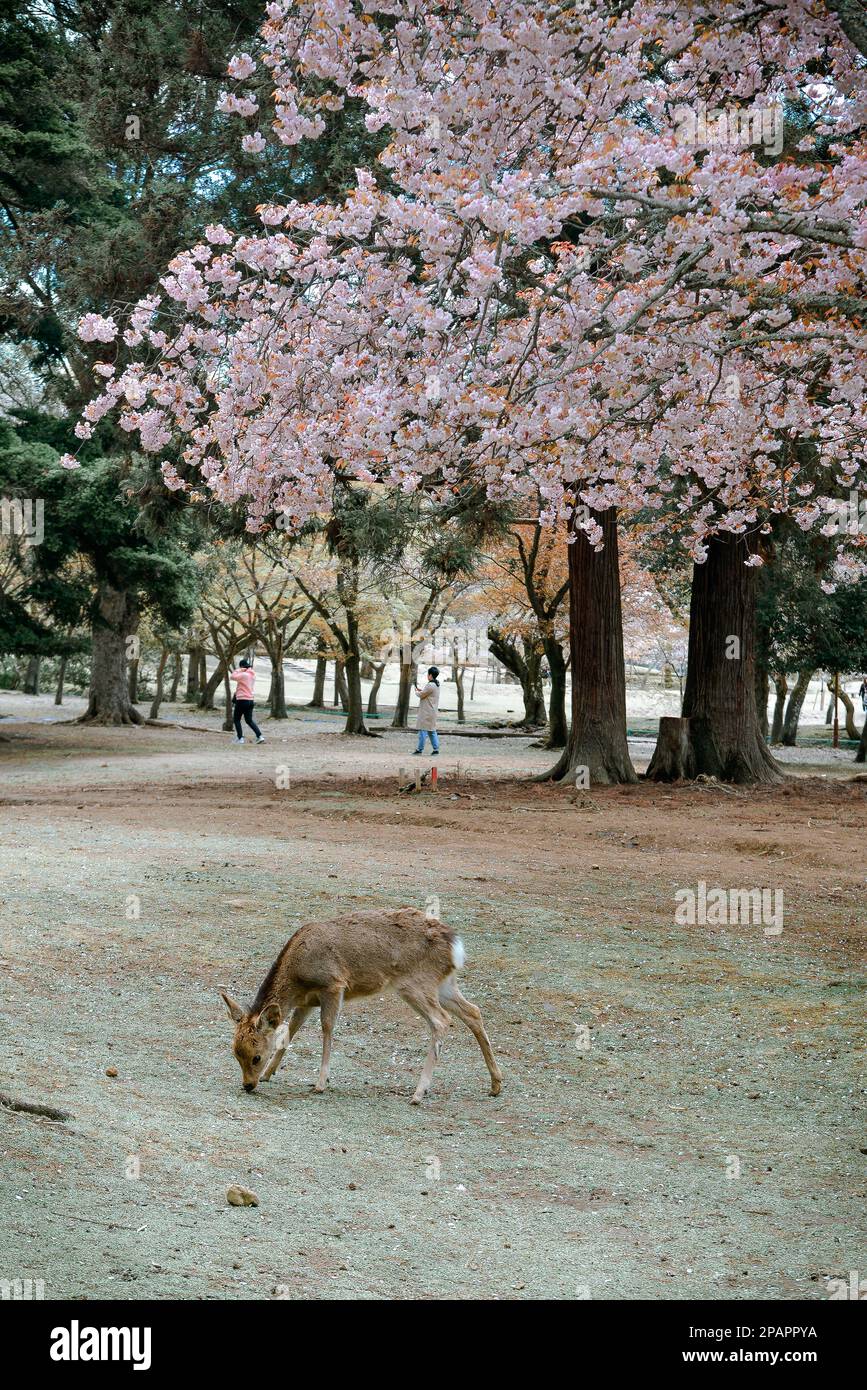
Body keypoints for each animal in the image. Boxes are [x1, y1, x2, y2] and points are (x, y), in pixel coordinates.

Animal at [220, 907, 502, 1105]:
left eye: (256, 1056)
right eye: (234, 1053)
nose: (247, 1085)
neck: (297, 976)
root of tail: (456, 946)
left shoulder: (333, 985)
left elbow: (327, 1028)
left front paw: (321, 1082)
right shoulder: (307, 1001)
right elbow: (290, 1031)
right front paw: (269, 1073)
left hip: (415, 984)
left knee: (441, 1021)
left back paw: (418, 1093)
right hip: (444, 984)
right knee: (473, 1011)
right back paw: (496, 1084)